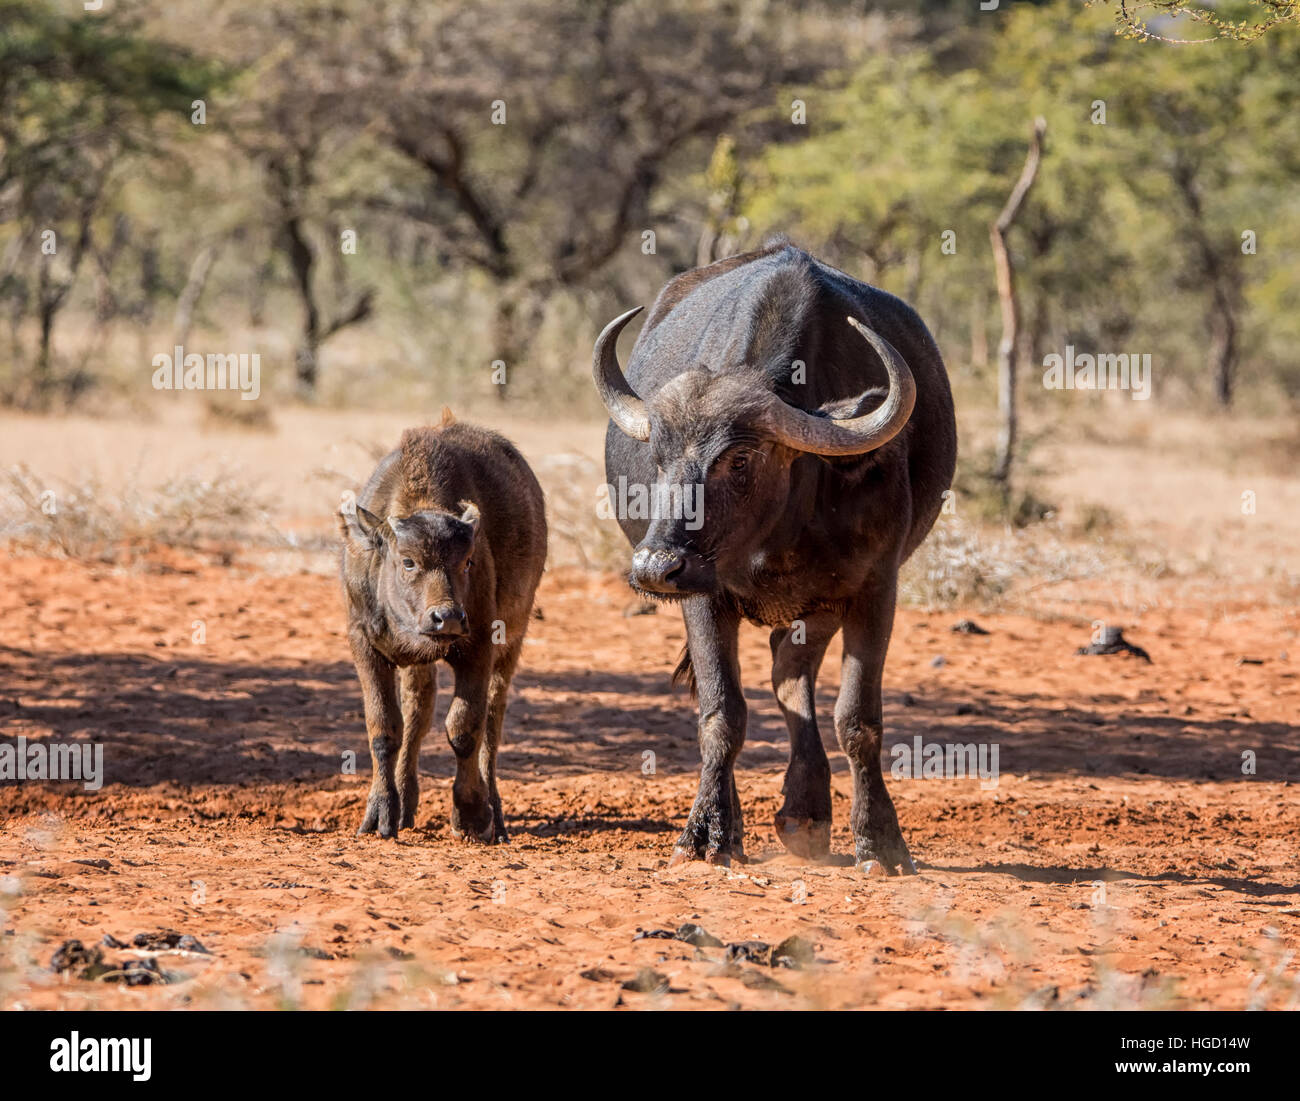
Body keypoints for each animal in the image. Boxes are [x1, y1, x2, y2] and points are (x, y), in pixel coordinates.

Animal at [338, 411, 547, 841]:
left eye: (467, 561)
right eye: (408, 561)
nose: (447, 617)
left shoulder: (480, 647)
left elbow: (465, 728)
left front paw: (471, 814)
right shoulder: (364, 645)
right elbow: (384, 728)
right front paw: (381, 812)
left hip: (511, 644)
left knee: (492, 724)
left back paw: (496, 814)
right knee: (417, 714)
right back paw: (405, 801)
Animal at [594, 241, 957, 875]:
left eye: (739, 460)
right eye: (658, 458)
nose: (655, 568)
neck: (775, 532)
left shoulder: (873, 590)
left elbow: (857, 719)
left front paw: (879, 840)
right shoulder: (703, 594)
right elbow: (722, 713)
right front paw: (708, 832)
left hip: (820, 608)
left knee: (790, 676)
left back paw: (806, 811)